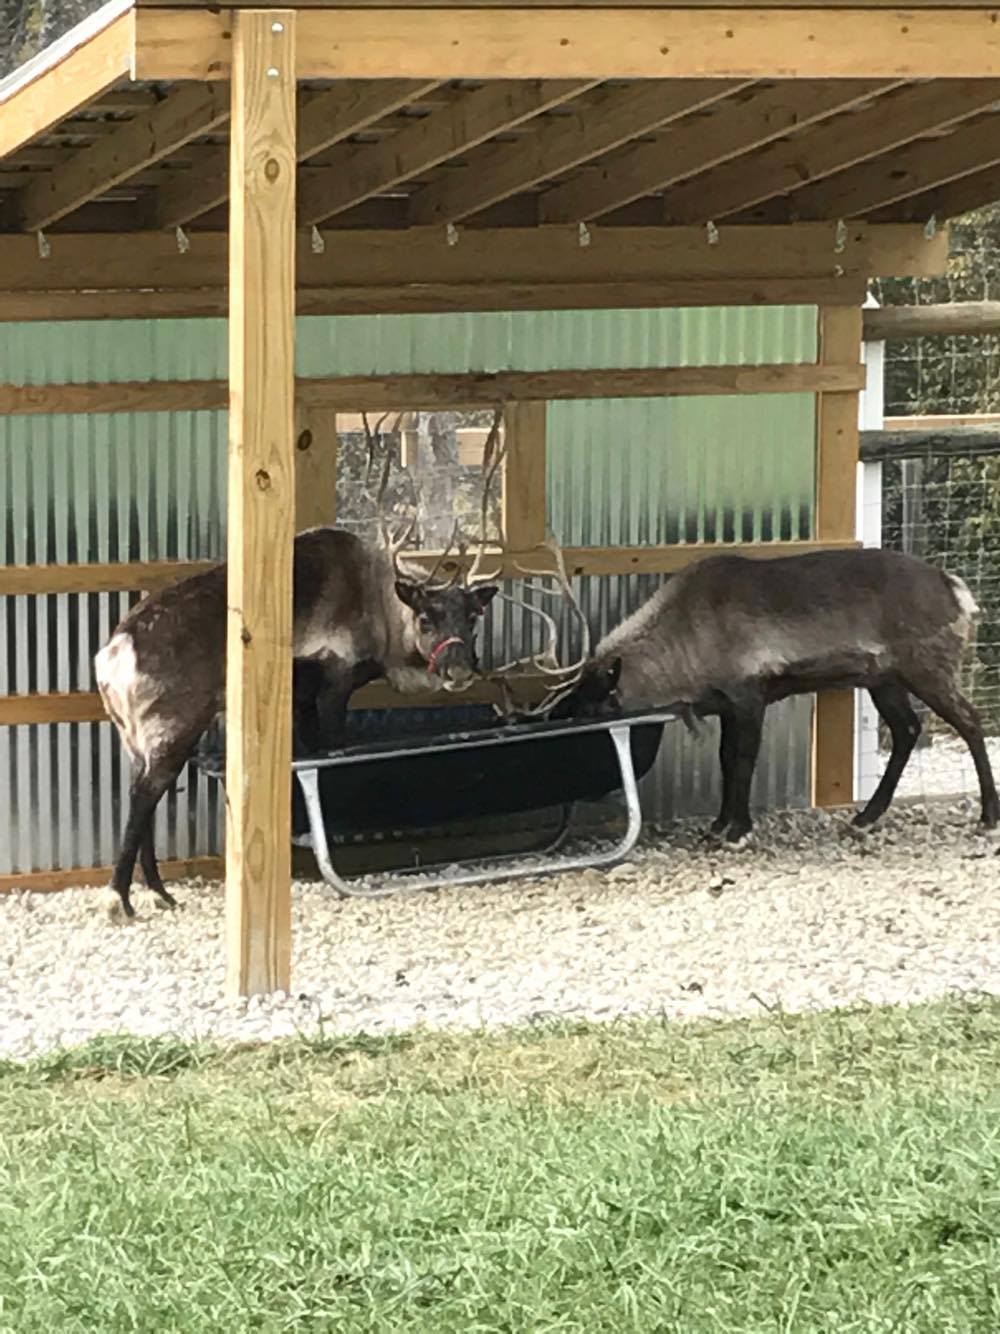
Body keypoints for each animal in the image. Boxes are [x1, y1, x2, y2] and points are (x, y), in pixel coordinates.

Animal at [95, 414, 501, 921]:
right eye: (427, 618)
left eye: (473, 615)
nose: (460, 670)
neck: (379, 605)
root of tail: (114, 653)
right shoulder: (332, 685)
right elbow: (332, 750)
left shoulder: (303, 700)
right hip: (173, 725)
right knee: (145, 793)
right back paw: (120, 897)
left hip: (132, 732)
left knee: (147, 790)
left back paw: (158, 892)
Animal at [551, 547, 1000, 843]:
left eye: (587, 712)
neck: (684, 635)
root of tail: (955, 588)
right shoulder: (727, 706)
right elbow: (725, 760)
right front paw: (718, 826)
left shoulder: (750, 696)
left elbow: (742, 760)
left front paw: (737, 830)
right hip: (884, 680)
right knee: (907, 730)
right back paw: (865, 817)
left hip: (926, 670)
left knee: (969, 721)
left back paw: (988, 816)